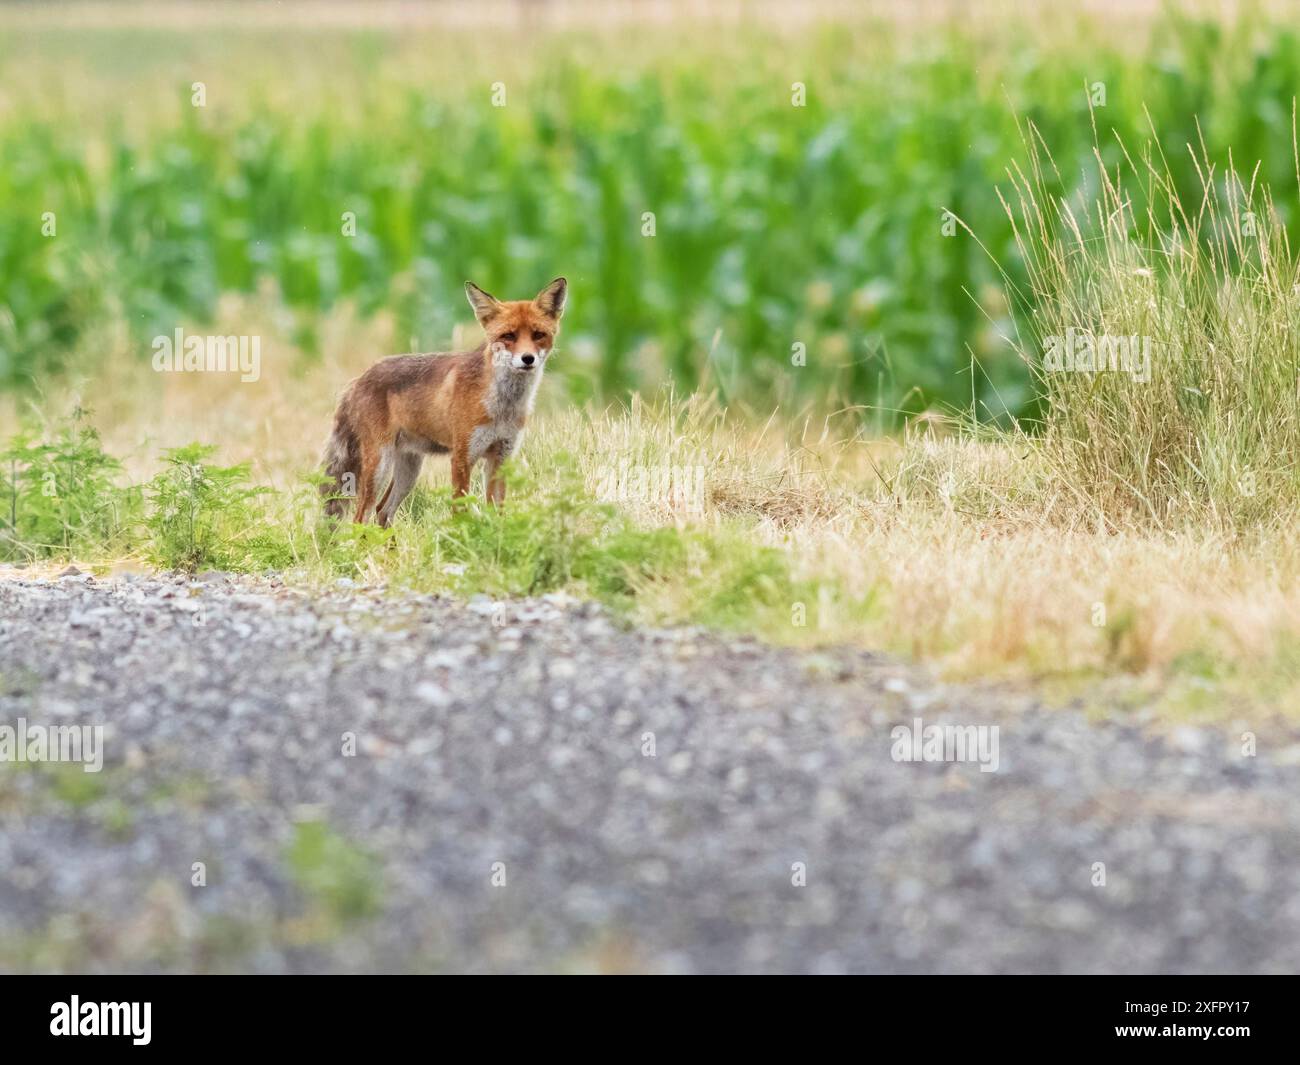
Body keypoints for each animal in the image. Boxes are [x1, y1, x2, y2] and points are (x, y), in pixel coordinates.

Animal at [321, 277, 567, 524]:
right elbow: (460, 511)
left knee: (383, 511)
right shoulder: (462, 457)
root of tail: (358, 379)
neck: (502, 407)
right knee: (360, 518)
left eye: (538, 334)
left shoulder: (501, 457)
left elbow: (496, 513)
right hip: (379, 465)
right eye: (509, 336)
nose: (528, 359)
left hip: (409, 469)